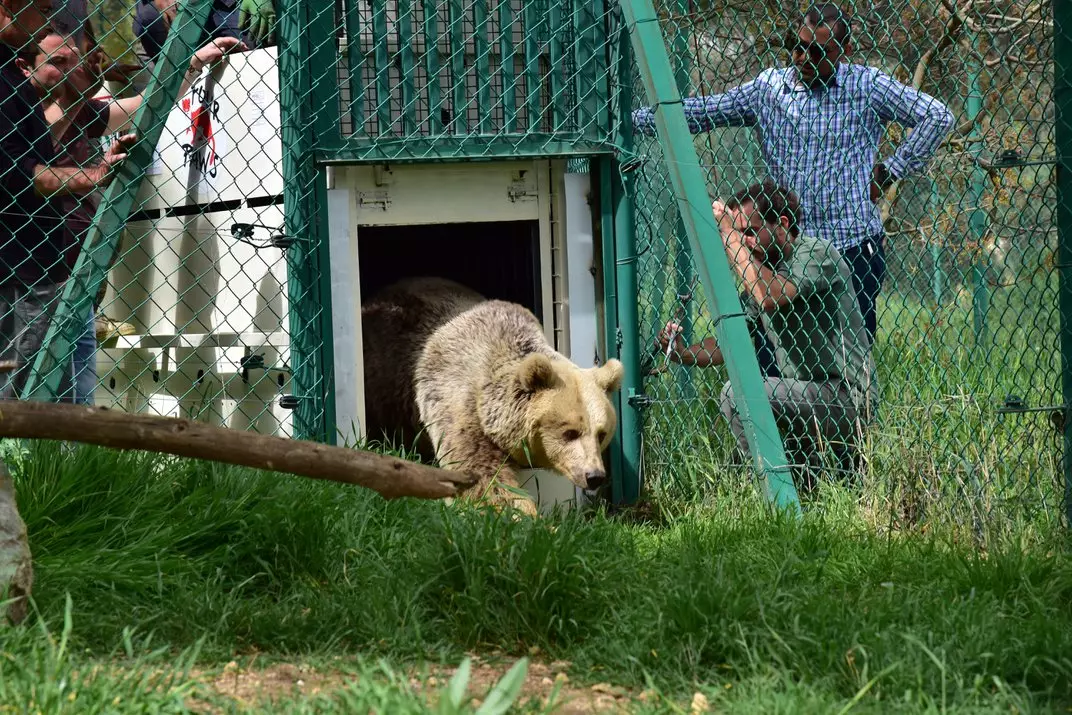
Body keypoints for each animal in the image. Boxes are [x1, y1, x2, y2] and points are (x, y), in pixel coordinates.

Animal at [364, 276, 626, 516]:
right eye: (570, 432)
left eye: (602, 433)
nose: (594, 475)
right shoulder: (459, 397)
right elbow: (481, 471)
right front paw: (523, 514)